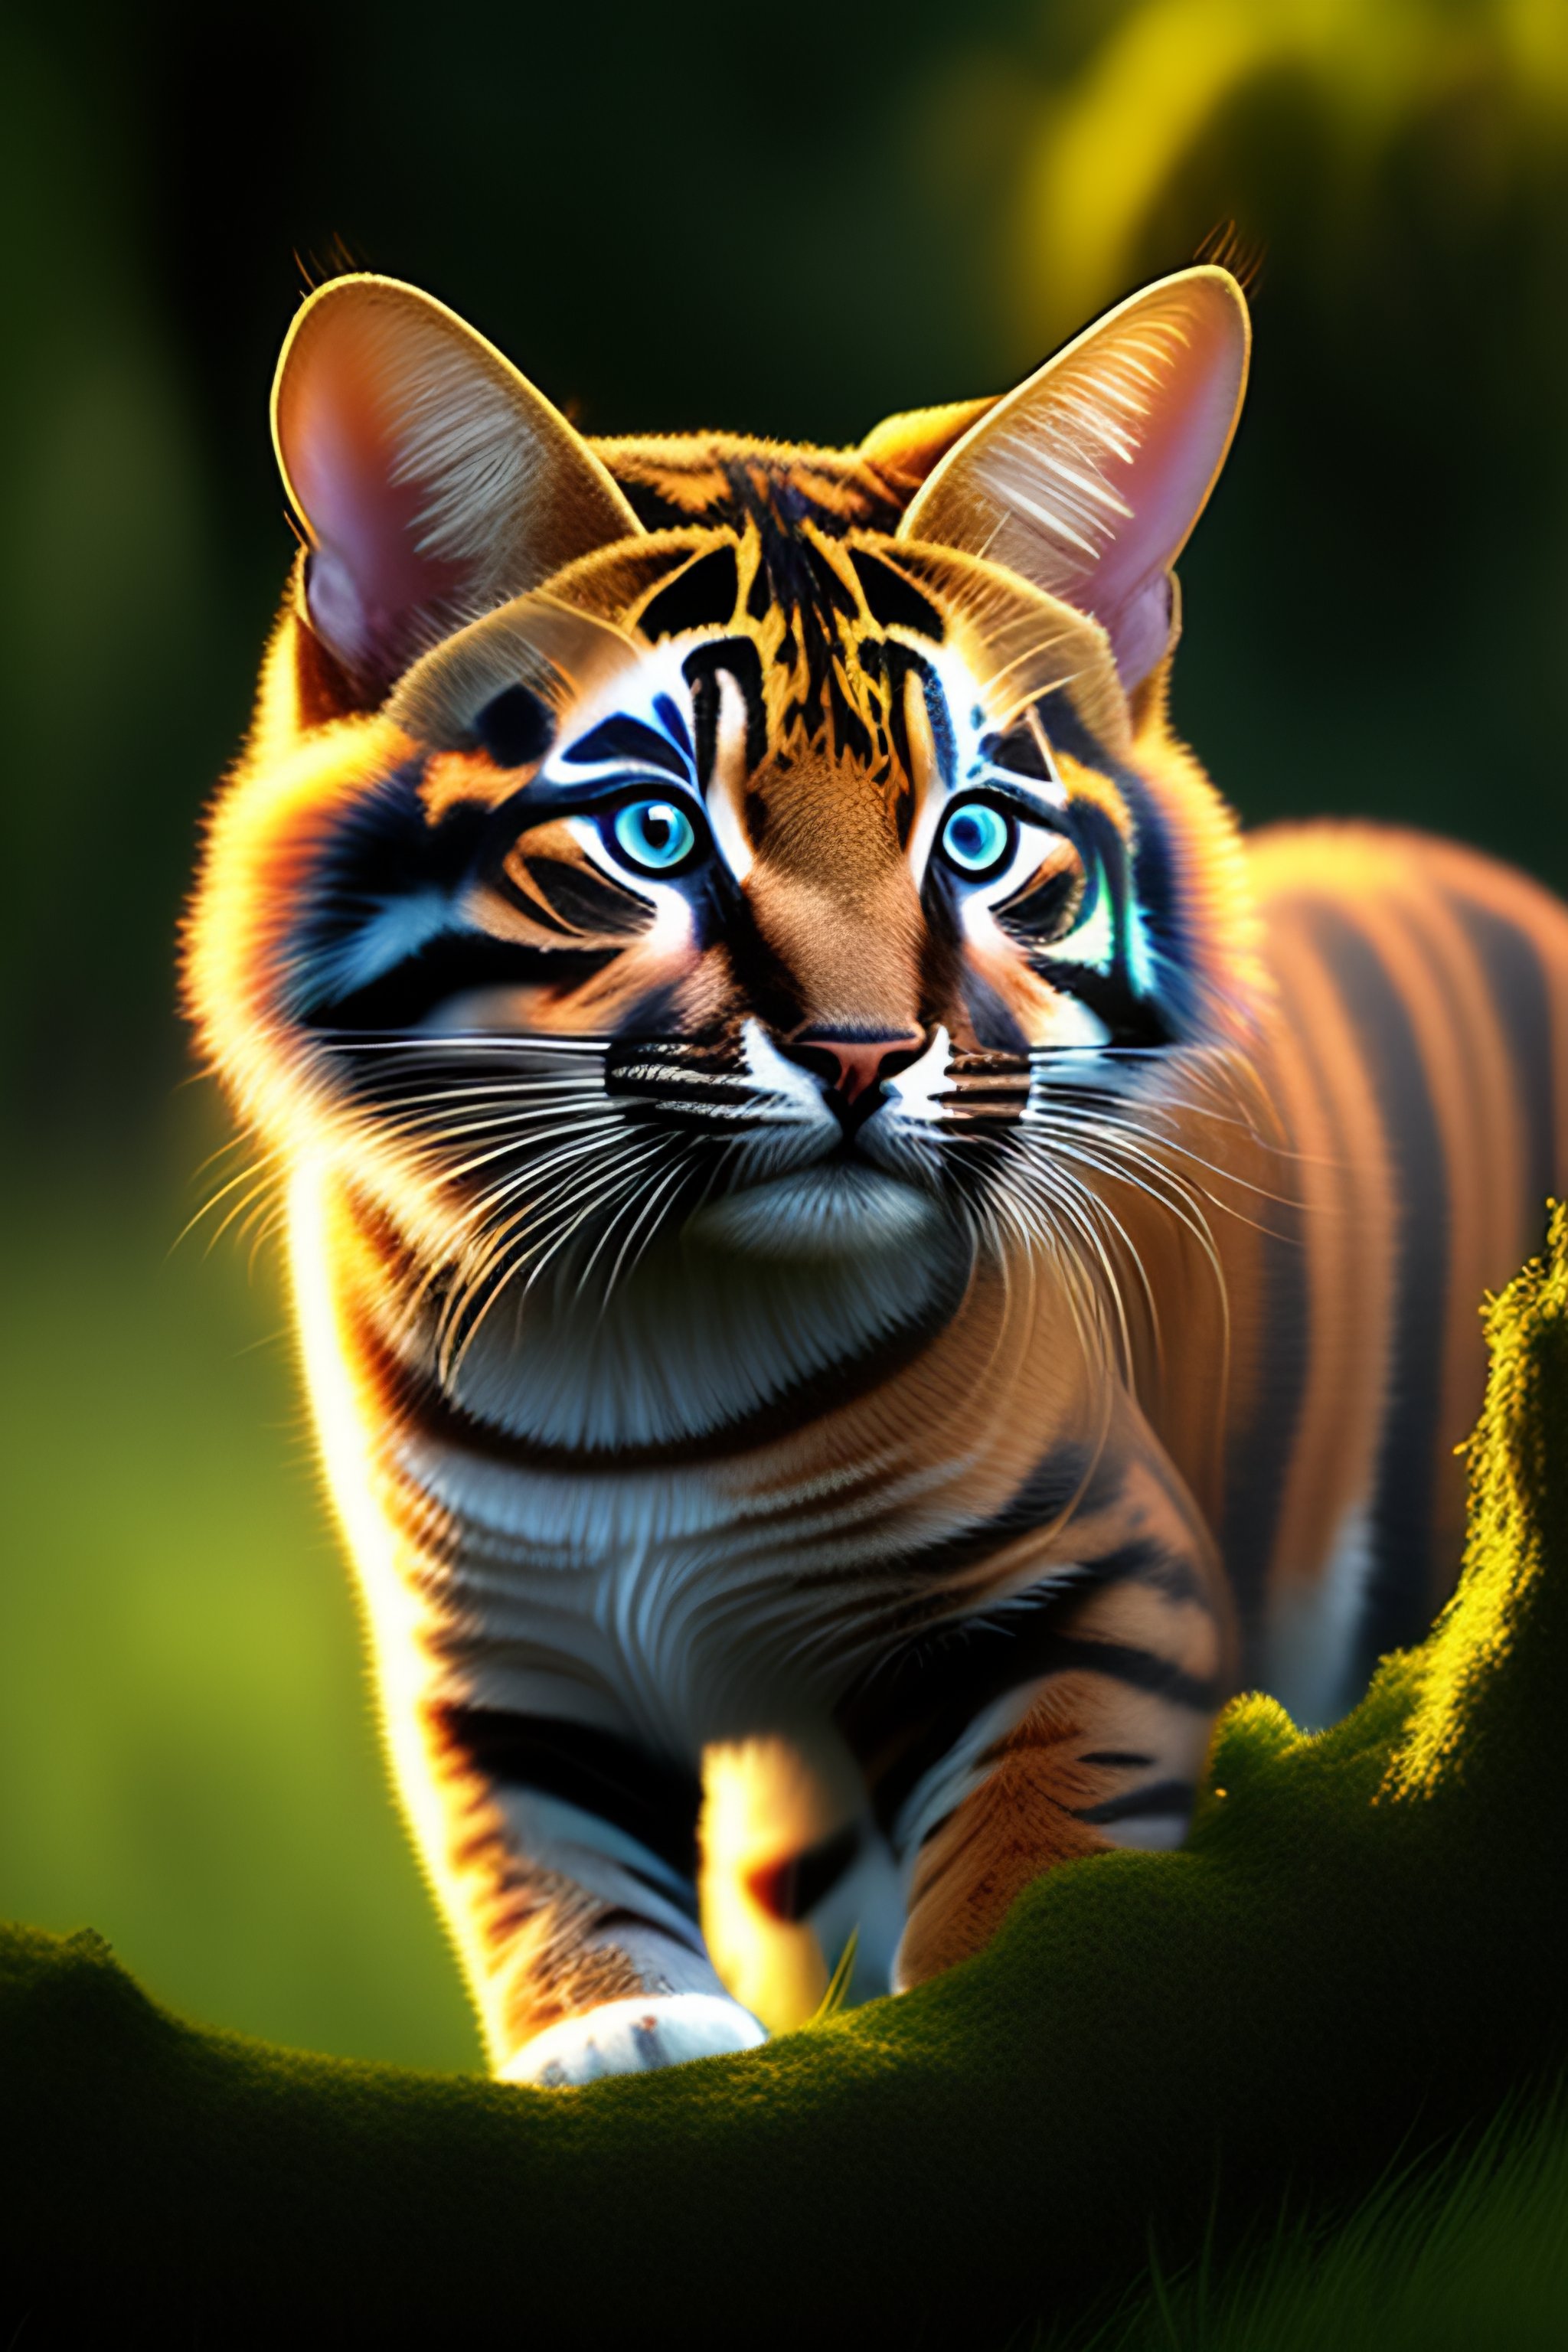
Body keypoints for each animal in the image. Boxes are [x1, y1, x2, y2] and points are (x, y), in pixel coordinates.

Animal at [184, 263, 1568, 2087]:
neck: (645, 1324)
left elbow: (1031, 1858)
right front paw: (619, 2033)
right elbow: (531, 1855)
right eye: (653, 834)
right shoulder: (490, 1652)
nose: (857, 1053)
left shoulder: (1088, 1582)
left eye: (972, 839)